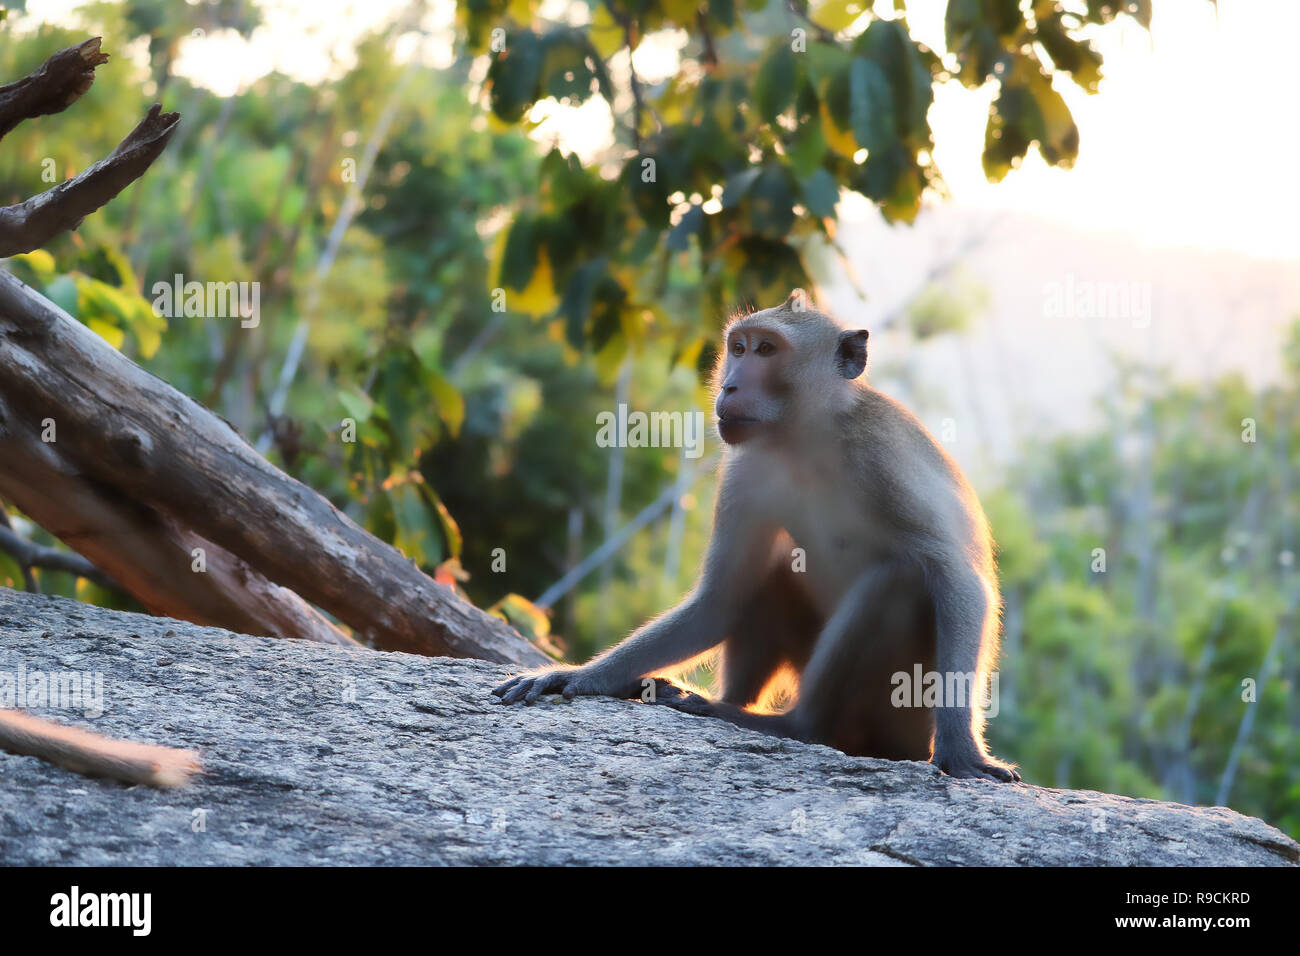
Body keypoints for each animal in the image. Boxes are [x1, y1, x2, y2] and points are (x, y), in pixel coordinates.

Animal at [495, 290, 1019, 782]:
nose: (730, 384)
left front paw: (961, 749)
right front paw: (583, 675)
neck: (805, 441)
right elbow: (721, 598)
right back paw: (717, 700)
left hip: (902, 708)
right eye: (739, 348)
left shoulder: (884, 457)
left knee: (899, 578)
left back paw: (794, 726)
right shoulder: (745, 471)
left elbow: (956, 578)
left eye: (767, 349)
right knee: (771, 579)